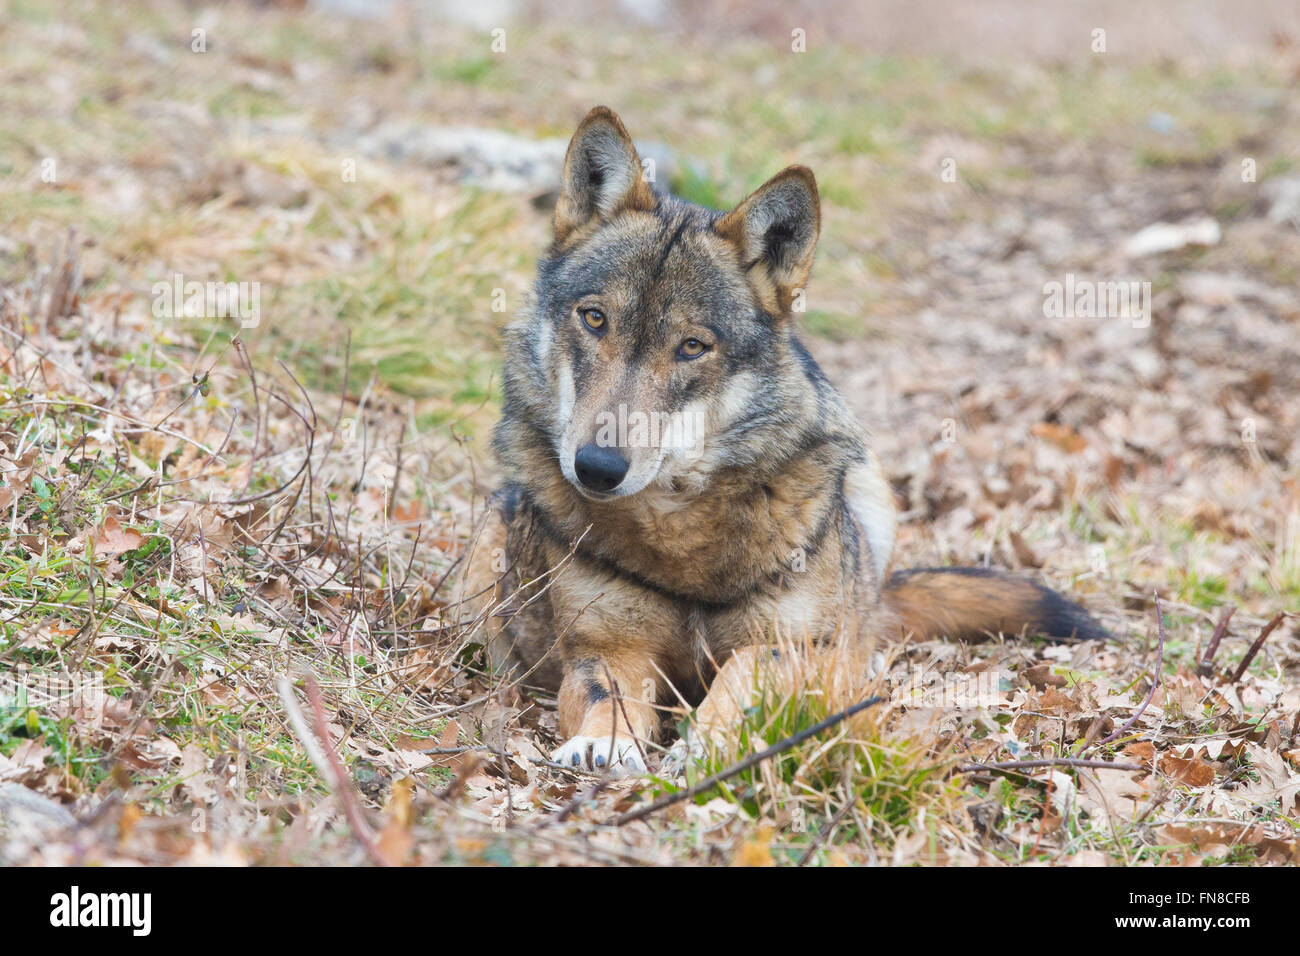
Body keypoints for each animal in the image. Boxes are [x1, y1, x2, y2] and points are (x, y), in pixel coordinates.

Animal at [461, 107, 1107, 774]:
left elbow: (740, 686)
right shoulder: (605, 647)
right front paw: (603, 744)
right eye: (594, 319)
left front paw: (709, 748)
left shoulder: (785, 644)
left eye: (692, 346)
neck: (678, 530)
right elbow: (604, 694)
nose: (595, 466)